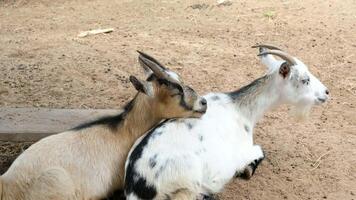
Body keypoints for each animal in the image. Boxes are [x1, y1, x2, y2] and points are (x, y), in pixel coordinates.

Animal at [124, 45, 330, 200]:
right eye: (304, 80)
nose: (326, 92)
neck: (241, 110)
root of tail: (138, 186)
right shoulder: (241, 153)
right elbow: (261, 150)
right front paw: (247, 170)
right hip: (188, 187)